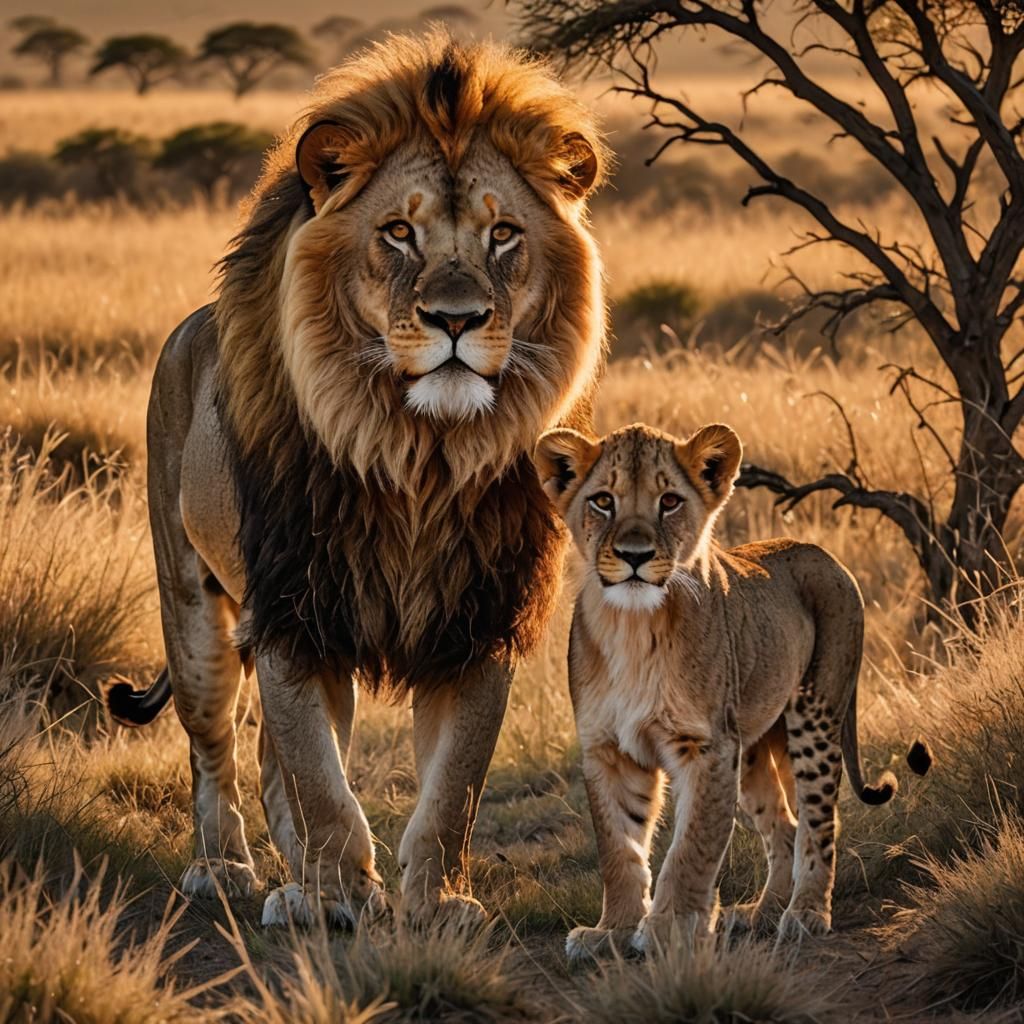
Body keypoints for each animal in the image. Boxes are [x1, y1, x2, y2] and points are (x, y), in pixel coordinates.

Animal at [105, 34, 607, 928]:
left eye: (503, 233)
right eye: (398, 231)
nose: (456, 320)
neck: (419, 455)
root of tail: (187, 330)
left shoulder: (481, 618)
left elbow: (453, 785)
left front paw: (438, 898)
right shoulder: (294, 608)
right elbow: (318, 774)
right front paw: (335, 895)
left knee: (265, 757)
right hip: (192, 609)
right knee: (214, 747)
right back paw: (227, 869)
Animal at [532, 422, 930, 958]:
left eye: (669, 501)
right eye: (602, 501)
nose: (635, 556)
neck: (632, 625)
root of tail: (825, 554)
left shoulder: (707, 747)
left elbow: (692, 848)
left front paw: (669, 928)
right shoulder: (608, 749)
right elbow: (619, 849)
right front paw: (613, 931)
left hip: (815, 716)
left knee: (819, 823)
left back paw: (805, 914)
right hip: (753, 748)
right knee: (784, 828)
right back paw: (761, 913)